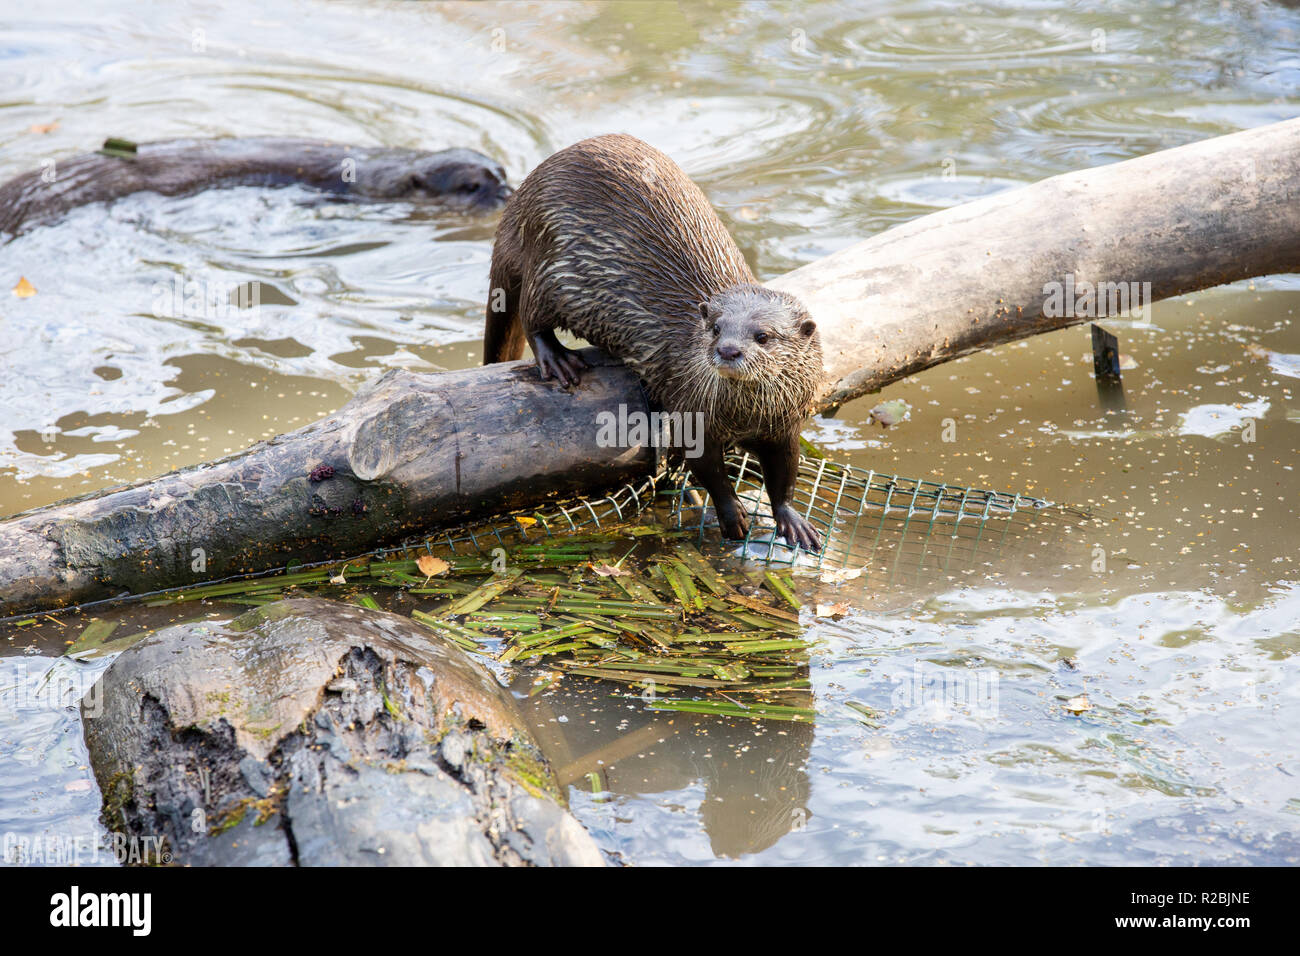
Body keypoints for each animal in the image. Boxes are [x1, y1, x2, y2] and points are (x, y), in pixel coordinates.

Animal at [482, 134, 824, 551]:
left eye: (763, 336)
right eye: (715, 327)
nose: (728, 350)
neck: (744, 415)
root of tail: (525, 194)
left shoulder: (785, 424)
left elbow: (784, 477)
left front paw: (794, 521)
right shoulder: (692, 410)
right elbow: (708, 470)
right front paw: (732, 516)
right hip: (551, 264)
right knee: (531, 314)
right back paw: (558, 359)